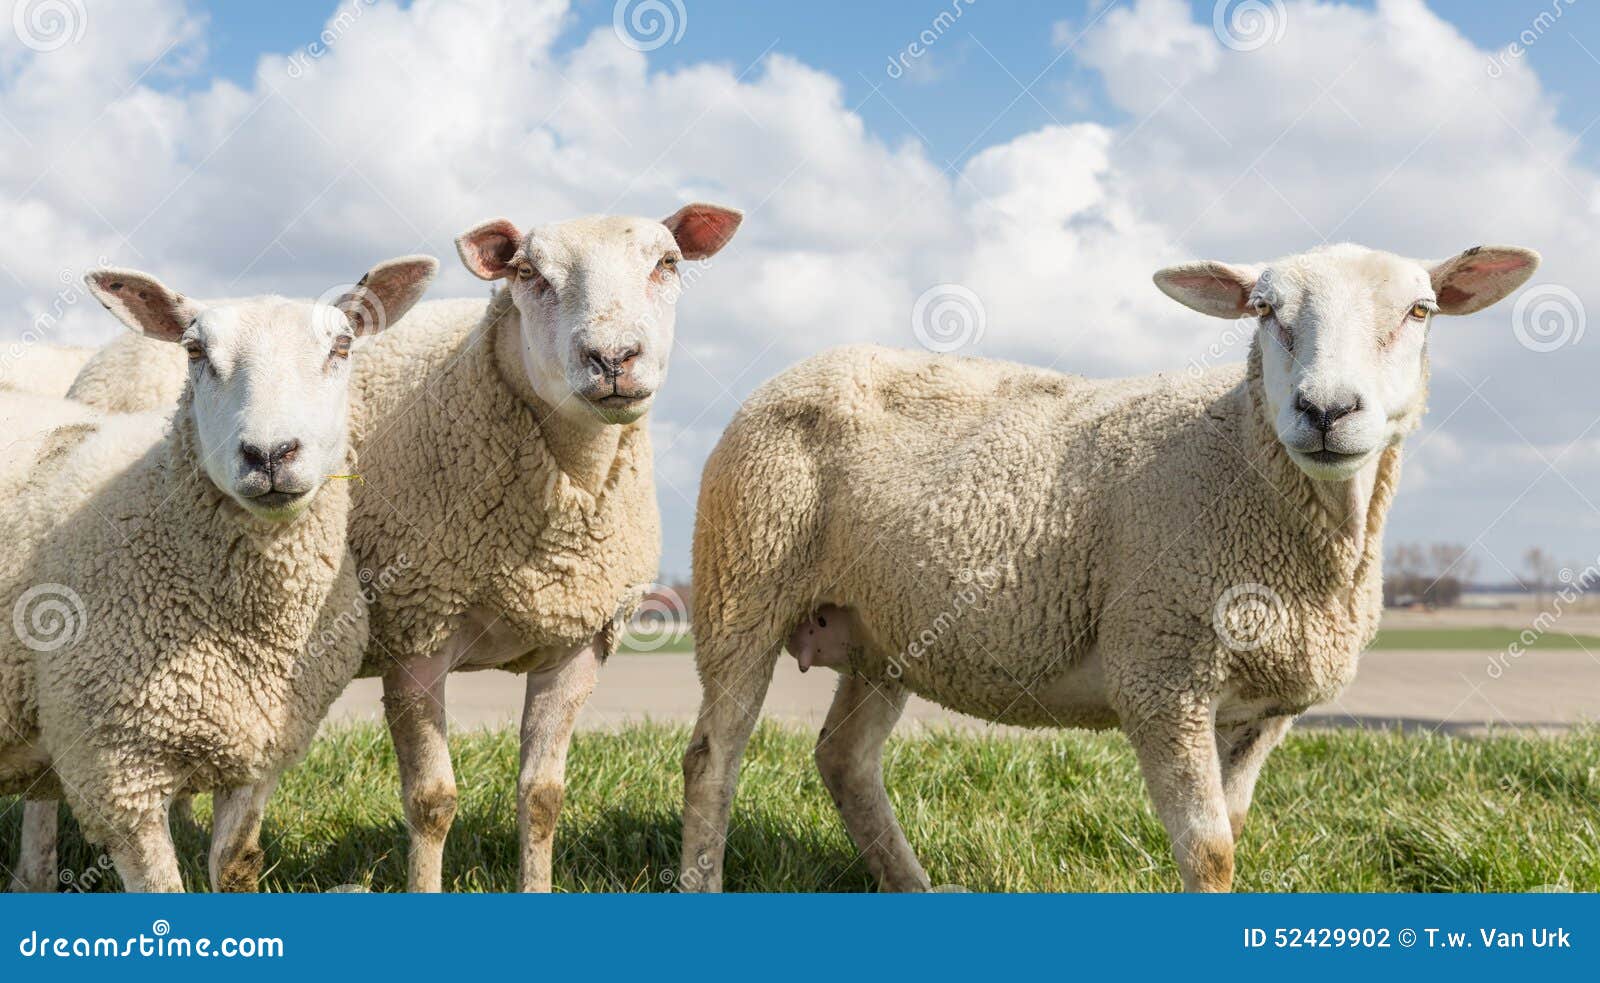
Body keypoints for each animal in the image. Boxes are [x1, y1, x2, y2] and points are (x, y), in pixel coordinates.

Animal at [0, 255, 437, 892]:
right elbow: (161, 887)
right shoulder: (117, 774)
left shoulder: (261, 747)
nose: (270, 453)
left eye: (342, 346)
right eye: (195, 351)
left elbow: (234, 865)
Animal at [61, 204, 744, 891]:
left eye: (668, 264)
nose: (612, 357)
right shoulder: (416, 633)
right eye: (527, 273)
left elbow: (542, 797)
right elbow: (432, 802)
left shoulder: (578, 640)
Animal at [679, 242, 1539, 893]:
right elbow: (1209, 850)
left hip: (882, 627)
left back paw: (913, 886)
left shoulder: (1262, 708)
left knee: (844, 759)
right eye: (1264, 310)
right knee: (712, 760)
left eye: (1420, 311)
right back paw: (705, 882)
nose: (1326, 411)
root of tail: (799, 367)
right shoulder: (1161, 673)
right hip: (744, 578)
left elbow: (1233, 830)